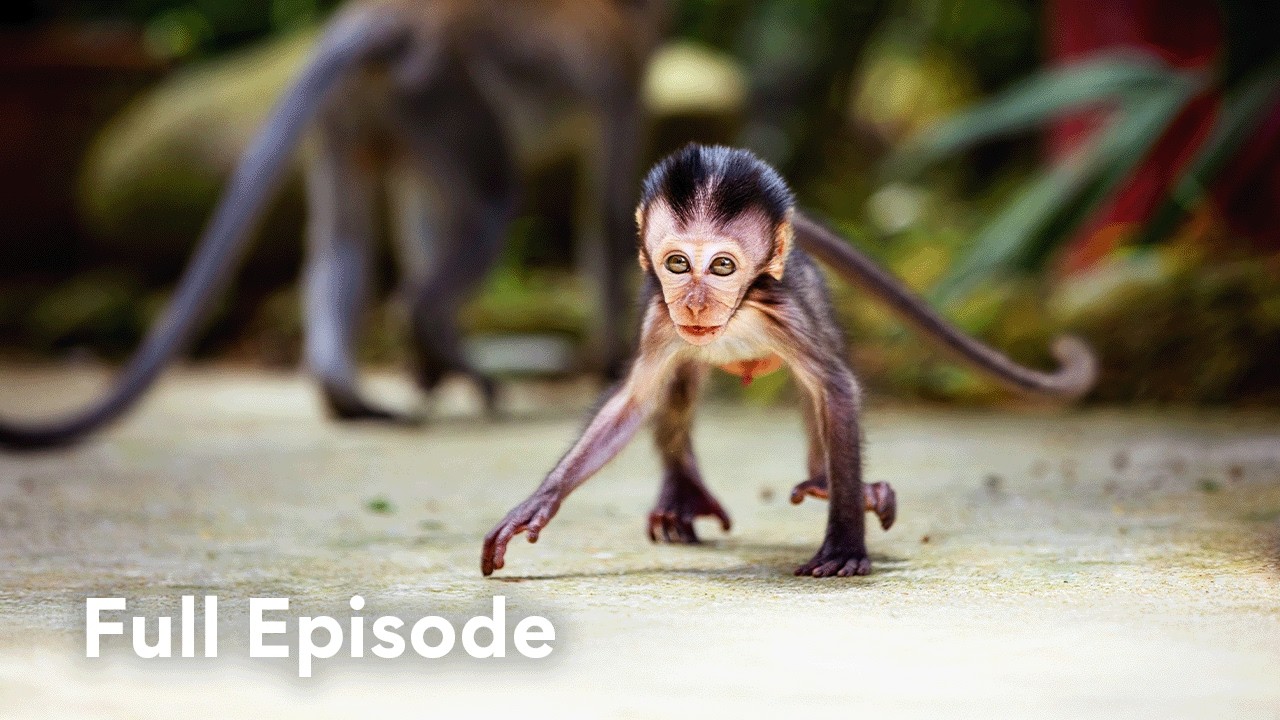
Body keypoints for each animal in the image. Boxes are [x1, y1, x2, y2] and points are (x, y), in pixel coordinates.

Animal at [0, 0, 665, 450]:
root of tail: (393, 16)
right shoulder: (620, 79)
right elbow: (608, 214)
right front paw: (611, 363)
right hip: (444, 90)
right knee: (490, 202)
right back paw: (443, 347)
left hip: (359, 114)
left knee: (345, 241)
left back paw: (353, 395)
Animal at [481, 144, 1096, 577]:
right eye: (678, 263)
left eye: (722, 267)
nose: (695, 301)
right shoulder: (658, 316)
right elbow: (632, 401)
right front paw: (536, 506)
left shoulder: (786, 314)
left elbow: (836, 390)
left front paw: (844, 542)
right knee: (678, 385)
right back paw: (684, 496)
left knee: (809, 388)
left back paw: (837, 486)